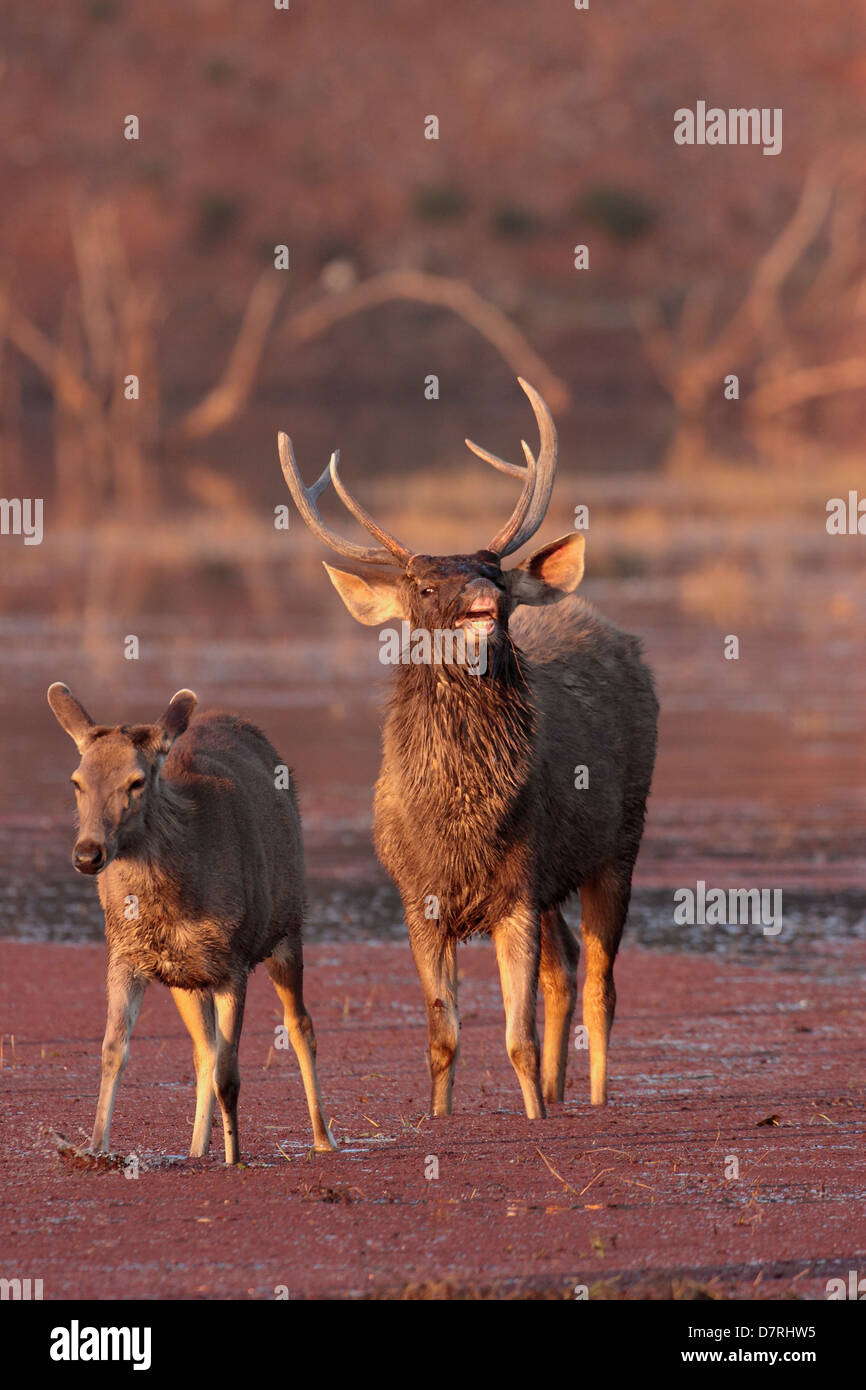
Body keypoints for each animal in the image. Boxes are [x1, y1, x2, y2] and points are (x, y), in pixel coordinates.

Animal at [47, 683, 336, 1161]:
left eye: (137, 781)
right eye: (77, 781)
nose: (88, 854)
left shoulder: (233, 961)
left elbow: (231, 1076)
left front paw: (236, 1161)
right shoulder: (126, 956)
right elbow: (112, 1052)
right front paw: (95, 1148)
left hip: (287, 927)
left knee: (300, 1026)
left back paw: (323, 1139)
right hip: (186, 977)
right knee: (204, 1050)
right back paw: (197, 1151)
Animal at [278, 378, 658, 1120]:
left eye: (496, 574)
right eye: (425, 586)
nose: (483, 596)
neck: (460, 828)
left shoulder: (518, 890)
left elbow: (516, 1037)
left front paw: (535, 1116)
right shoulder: (416, 899)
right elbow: (442, 1034)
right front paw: (441, 1117)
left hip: (621, 841)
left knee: (601, 986)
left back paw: (594, 1101)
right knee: (568, 971)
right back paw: (563, 1092)